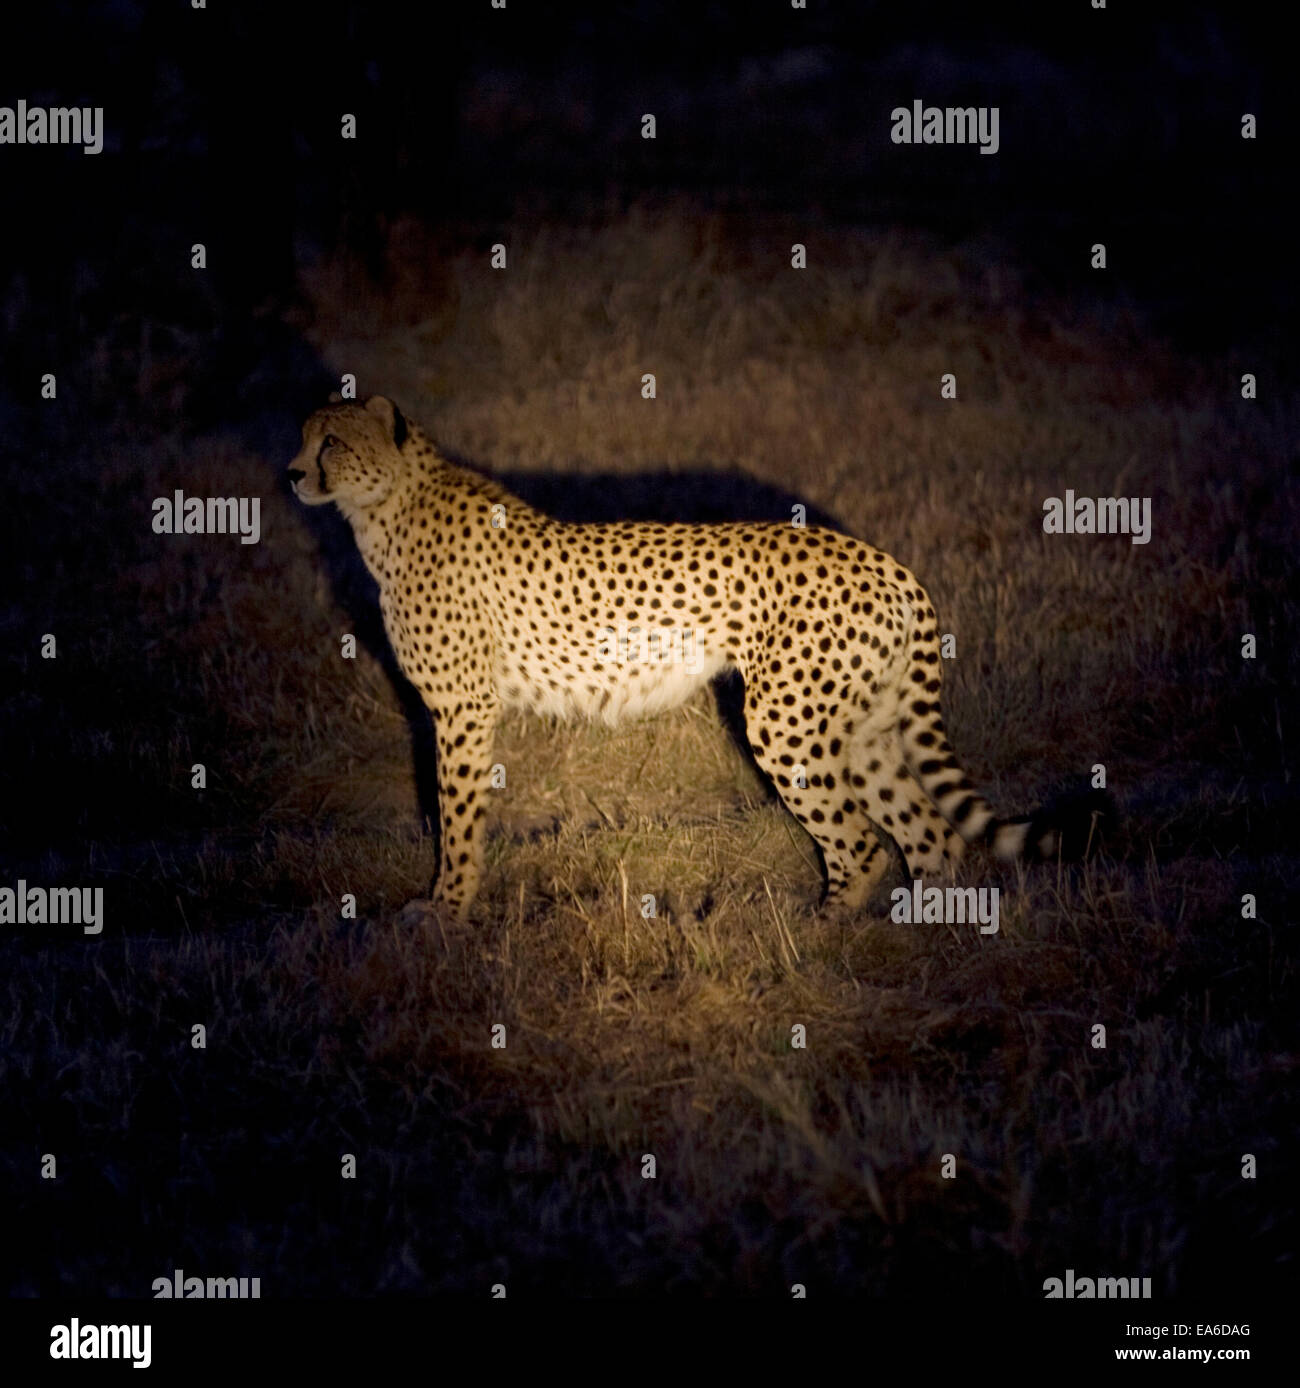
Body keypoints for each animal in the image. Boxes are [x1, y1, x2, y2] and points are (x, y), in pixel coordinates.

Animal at [288, 394, 1065, 920]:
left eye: (332, 441)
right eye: (303, 437)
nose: (292, 474)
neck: (388, 505)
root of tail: (883, 559)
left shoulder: (463, 709)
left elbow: (456, 816)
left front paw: (447, 909)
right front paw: (449, 905)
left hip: (786, 724)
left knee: (864, 841)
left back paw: (823, 931)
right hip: (862, 727)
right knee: (930, 835)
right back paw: (920, 936)